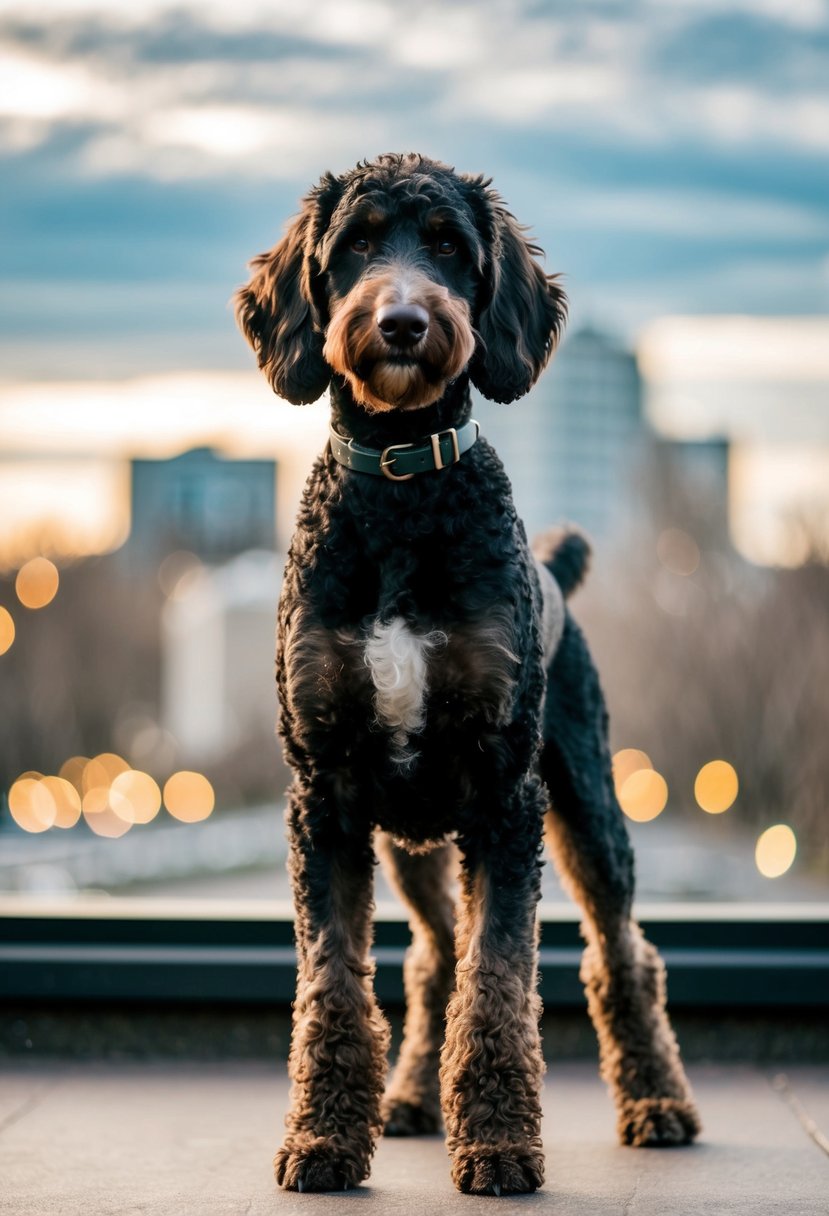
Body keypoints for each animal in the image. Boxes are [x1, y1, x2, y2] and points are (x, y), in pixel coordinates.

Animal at [234, 152, 695, 1196]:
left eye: (449, 247)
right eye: (356, 243)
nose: (404, 322)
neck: (405, 490)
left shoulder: (503, 795)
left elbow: (498, 981)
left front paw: (495, 1145)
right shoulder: (324, 795)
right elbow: (334, 982)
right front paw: (323, 1140)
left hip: (587, 805)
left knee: (622, 955)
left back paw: (656, 1104)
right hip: (410, 842)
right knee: (430, 955)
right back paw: (407, 1100)